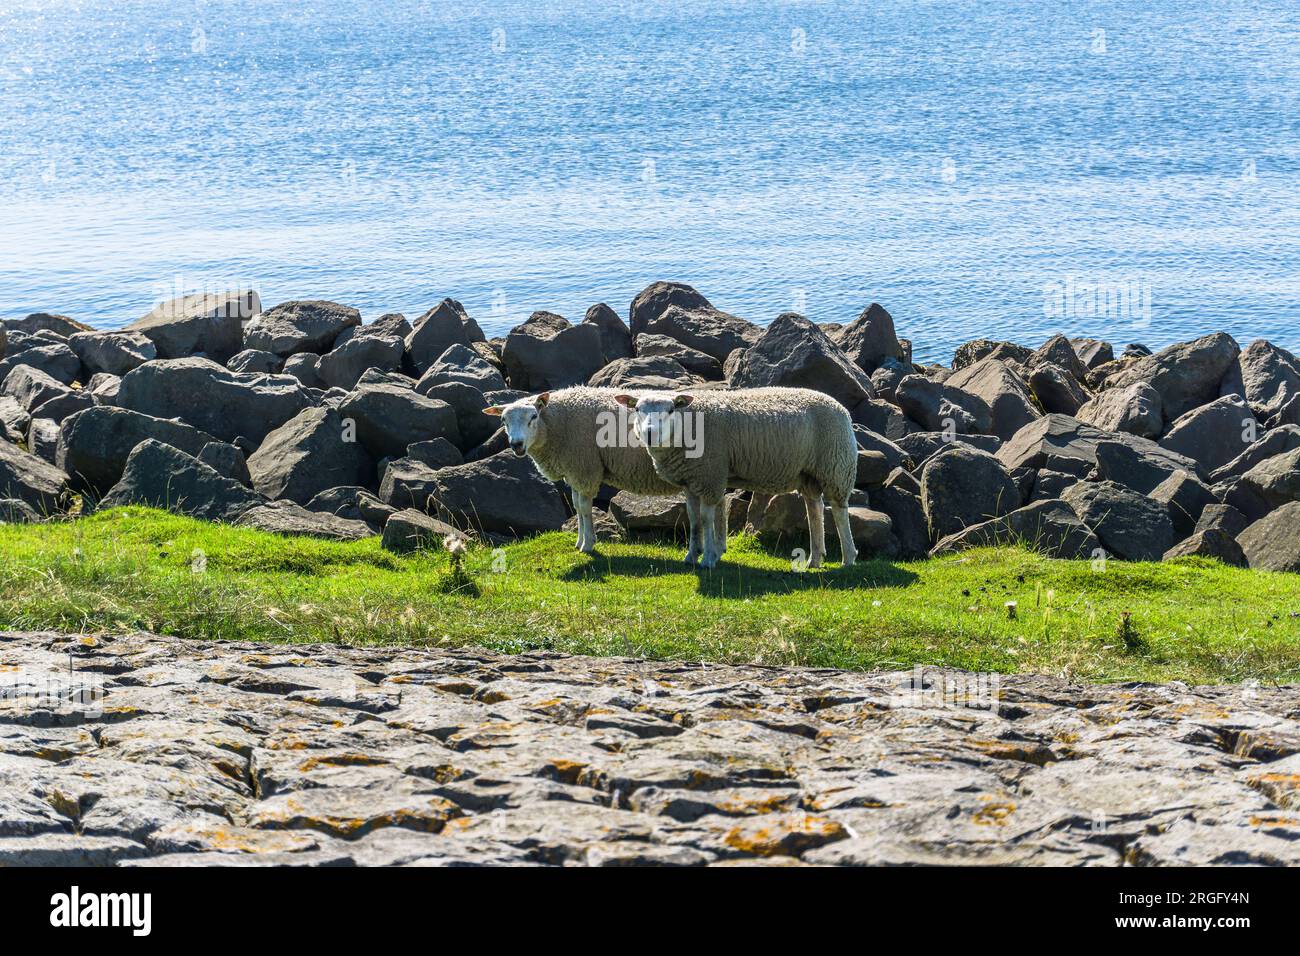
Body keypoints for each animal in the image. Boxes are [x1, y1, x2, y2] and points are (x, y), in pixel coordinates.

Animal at [484, 386, 725, 561]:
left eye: (533, 416)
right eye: (503, 421)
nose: (516, 444)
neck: (556, 425)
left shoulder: (584, 467)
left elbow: (583, 508)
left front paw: (588, 544)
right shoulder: (575, 471)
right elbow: (576, 505)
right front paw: (579, 541)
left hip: (707, 471)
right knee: (721, 504)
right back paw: (719, 547)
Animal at [615, 386, 858, 569]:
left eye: (671, 409)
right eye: (637, 409)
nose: (650, 433)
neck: (688, 426)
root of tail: (841, 408)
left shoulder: (710, 476)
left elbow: (706, 518)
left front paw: (708, 559)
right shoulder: (691, 481)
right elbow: (693, 520)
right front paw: (691, 556)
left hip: (836, 465)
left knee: (838, 510)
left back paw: (848, 558)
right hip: (808, 474)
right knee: (815, 509)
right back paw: (814, 560)